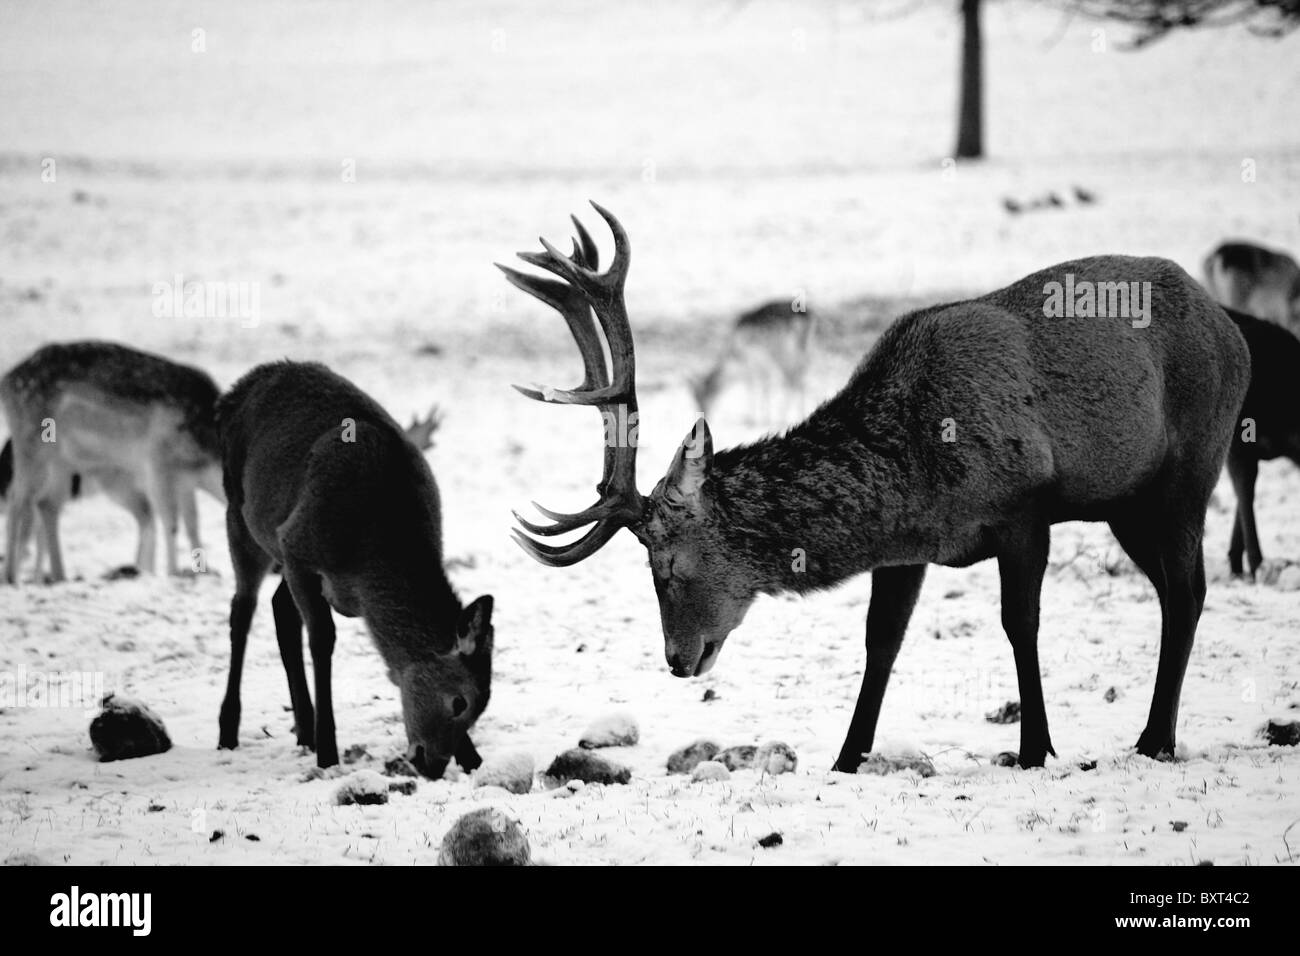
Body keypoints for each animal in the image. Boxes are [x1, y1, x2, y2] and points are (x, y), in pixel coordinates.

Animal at [0, 343, 224, 582]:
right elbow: (171, 522)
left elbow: (193, 524)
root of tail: (7, 380)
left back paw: (59, 576)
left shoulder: (186, 482)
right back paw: (12, 578)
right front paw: (174, 572)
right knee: (17, 500)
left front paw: (204, 571)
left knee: (46, 503)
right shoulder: (157, 462)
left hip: (61, 461)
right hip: (30, 443)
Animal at [218, 361, 491, 780]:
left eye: (482, 706)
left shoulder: (298, 560)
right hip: (241, 514)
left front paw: (473, 759)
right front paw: (328, 754)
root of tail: (240, 386)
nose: (432, 764)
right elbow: (322, 640)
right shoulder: (296, 544)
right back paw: (229, 730)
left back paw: (303, 729)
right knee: (242, 610)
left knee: (280, 608)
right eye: (458, 702)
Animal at [499, 205, 1248, 775]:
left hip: (1192, 467)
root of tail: (1234, 331)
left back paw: (1157, 738)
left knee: (1189, 588)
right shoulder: (909, 548)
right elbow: (880, 640)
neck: (917, 471)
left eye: (668, 566)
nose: (679, 661)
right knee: (1173, 591)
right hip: (1128, 504)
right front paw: (847, 756)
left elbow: (1020, 624)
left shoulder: (1023, 508)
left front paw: (1036, 748)